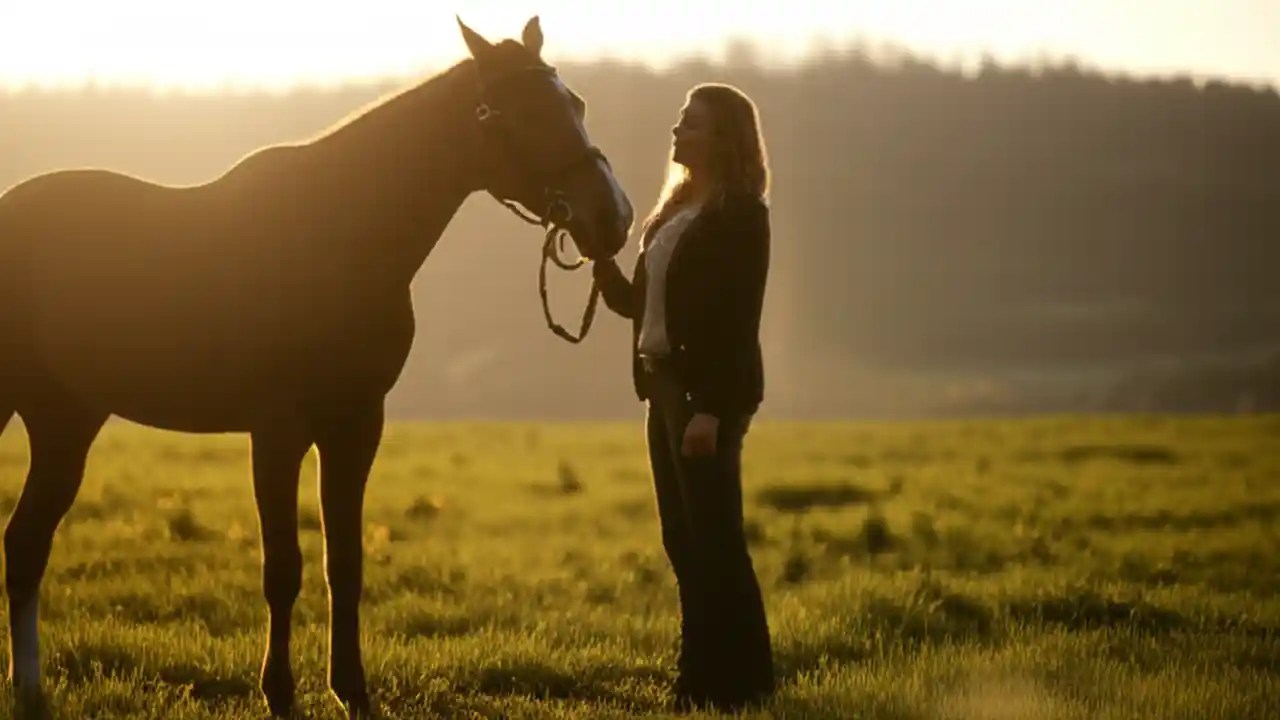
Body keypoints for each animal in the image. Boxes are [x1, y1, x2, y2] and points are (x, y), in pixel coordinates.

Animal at [0, 16, 633, 718]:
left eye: (575, 104)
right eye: (517, 114)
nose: (613, 216)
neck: (335, 236)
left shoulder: (355, 425)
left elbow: (345, 564)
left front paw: (351, 691)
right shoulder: (277, 431)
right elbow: (283, 568)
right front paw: (279, 693)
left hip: (66, 421)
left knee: (25, 543)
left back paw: (29, 687)